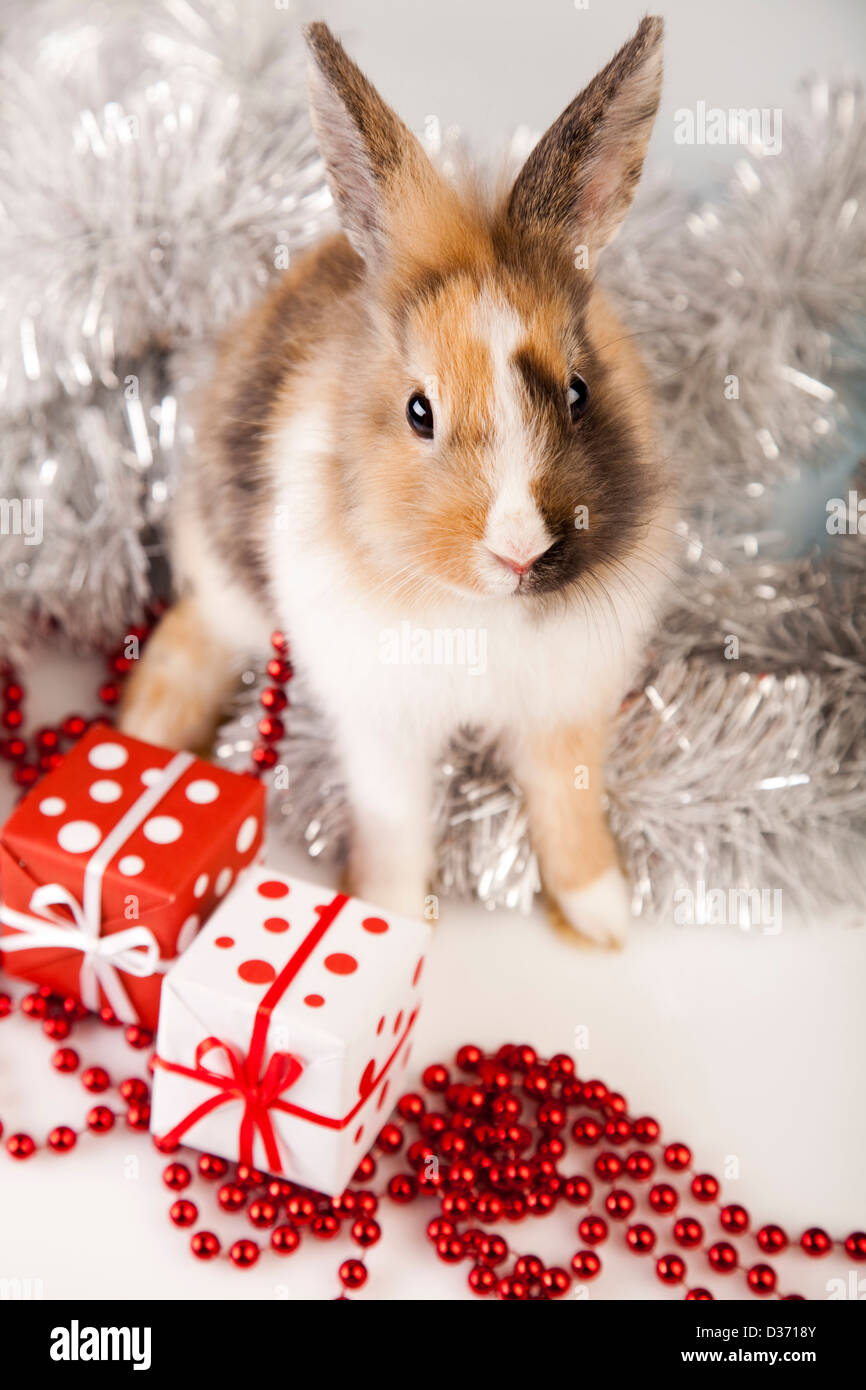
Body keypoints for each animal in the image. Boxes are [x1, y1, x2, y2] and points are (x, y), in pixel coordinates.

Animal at [120, 16, 673, 947]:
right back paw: (145, 736)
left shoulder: (565, 707)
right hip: (230, 578)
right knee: (192, 633)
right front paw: (382, 915)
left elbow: (566, 807)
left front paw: (601, 916)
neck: (482, 610)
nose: (519, 550)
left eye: (578, 393)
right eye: (419, 411)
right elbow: (395, 823)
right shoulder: (381, 724)